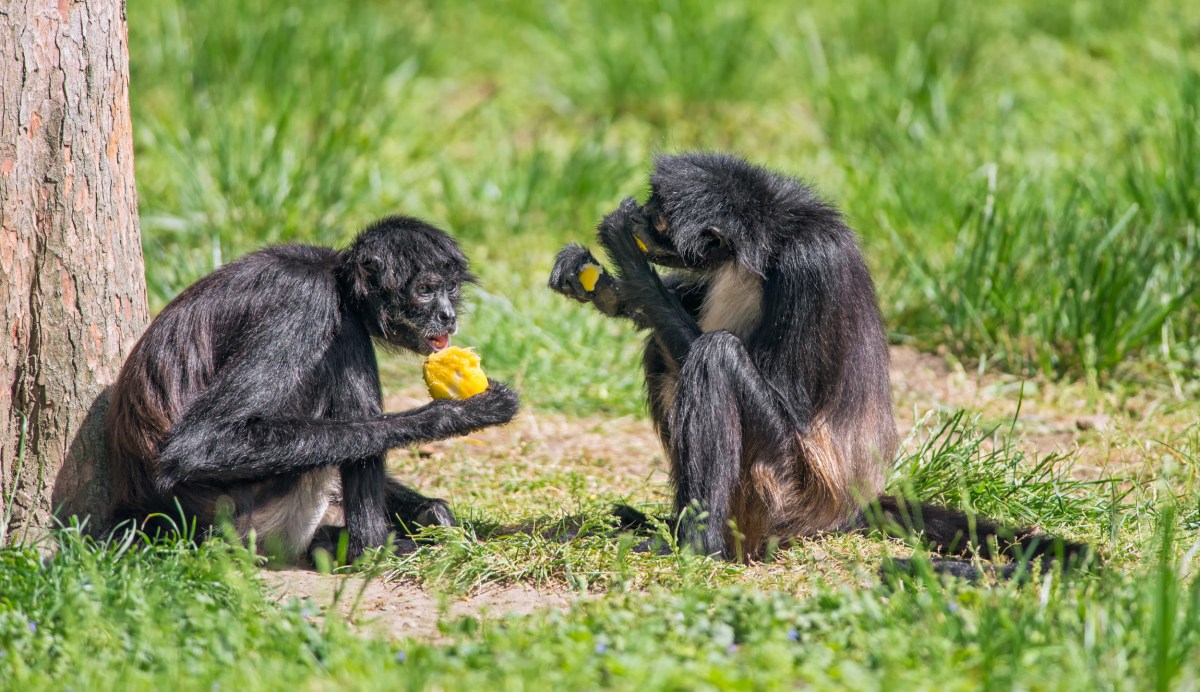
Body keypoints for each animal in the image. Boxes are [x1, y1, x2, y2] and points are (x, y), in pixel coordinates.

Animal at [106, 215, 520, 563]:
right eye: (425, 290)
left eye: (451, 288)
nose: (448, 316)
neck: (334, 279)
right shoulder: (306, 301)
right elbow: (199, 447)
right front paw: (454, 415)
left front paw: (428, 511)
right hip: (248, 515)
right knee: (347, 345)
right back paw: (368, 549)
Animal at [549, 152, 1090, 573]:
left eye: (654, 216)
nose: (638, 212)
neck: (771, 238)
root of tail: (849, 503)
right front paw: (605, 287)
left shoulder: (809, 262)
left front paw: (627, 257)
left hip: (783, 489)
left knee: (715, 354)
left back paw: (699, 546)